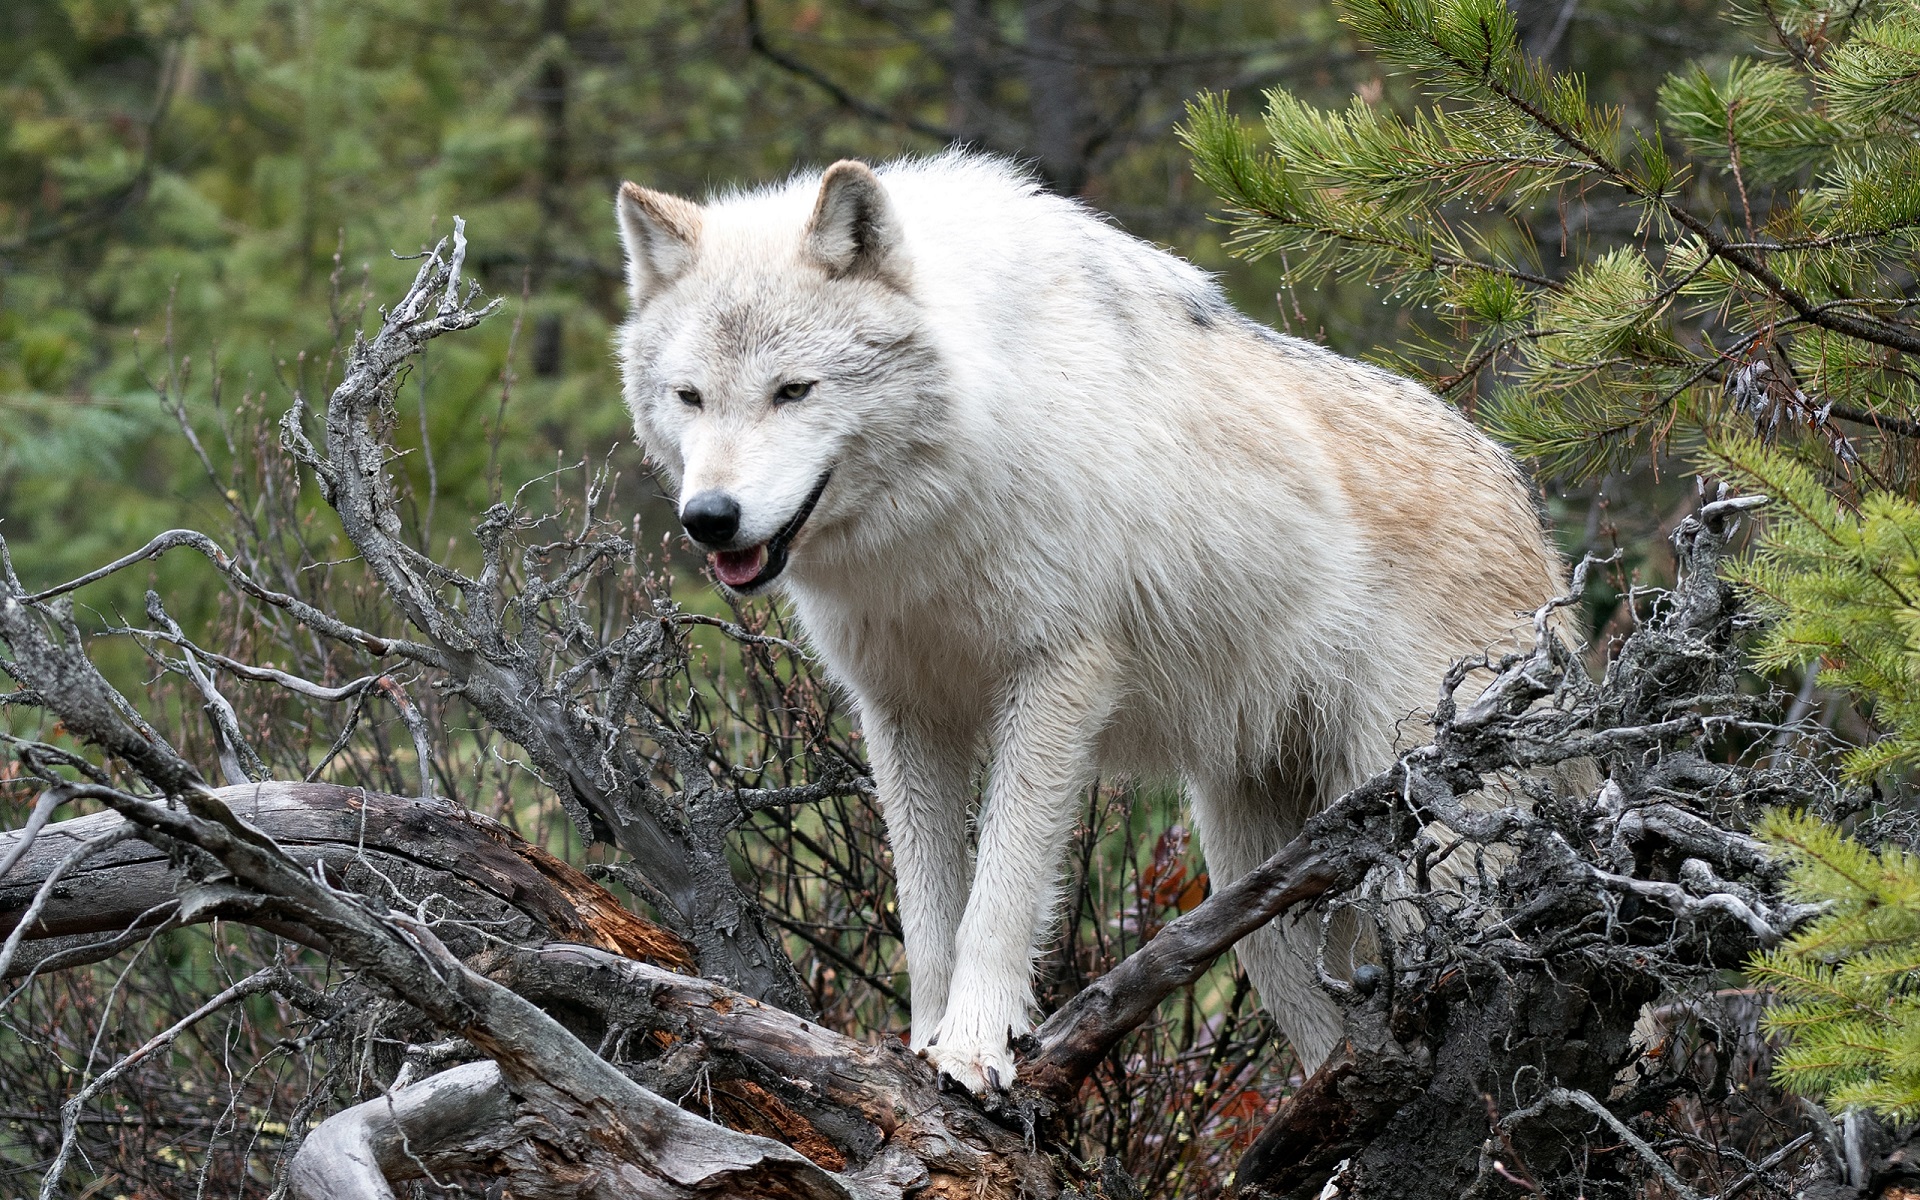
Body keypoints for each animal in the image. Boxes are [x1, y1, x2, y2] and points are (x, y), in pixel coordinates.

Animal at [612, 152, 1565, 1093]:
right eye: (690, 396)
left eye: (794, 390)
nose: (710, 518)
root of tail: (1531, 512)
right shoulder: (903, 711)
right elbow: (925, 913)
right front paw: (916, 1049)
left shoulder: (1056, 679)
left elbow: (998, 895)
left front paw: (973, 1051)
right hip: (1260, 890)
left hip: (1424, 855)